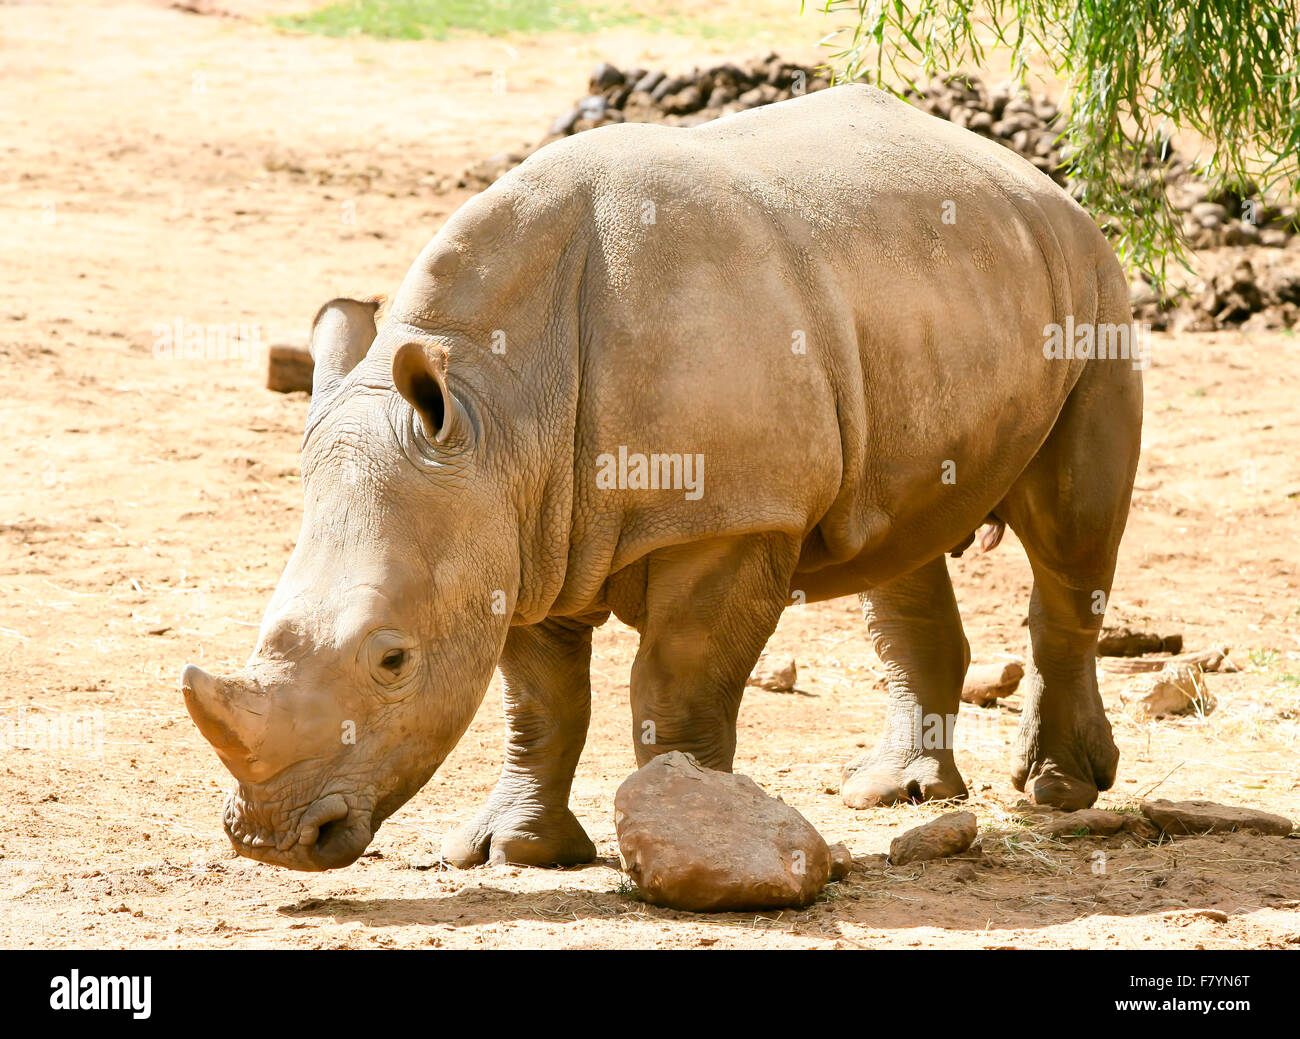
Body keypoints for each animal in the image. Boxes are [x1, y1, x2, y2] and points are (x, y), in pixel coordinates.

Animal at [181, 84, 1142, 871]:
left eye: (392, 659)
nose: (270, 838)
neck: (502, 405)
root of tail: (1033, 175)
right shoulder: (517, 525)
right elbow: (540, 703)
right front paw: (514, 851)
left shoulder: (729, 516)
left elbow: (676, 687)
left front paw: (693, 845)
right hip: (932, 289)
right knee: (902, 537)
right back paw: (897, 791)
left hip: (1093, 285)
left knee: (1070, 535)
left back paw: (1059, 789)